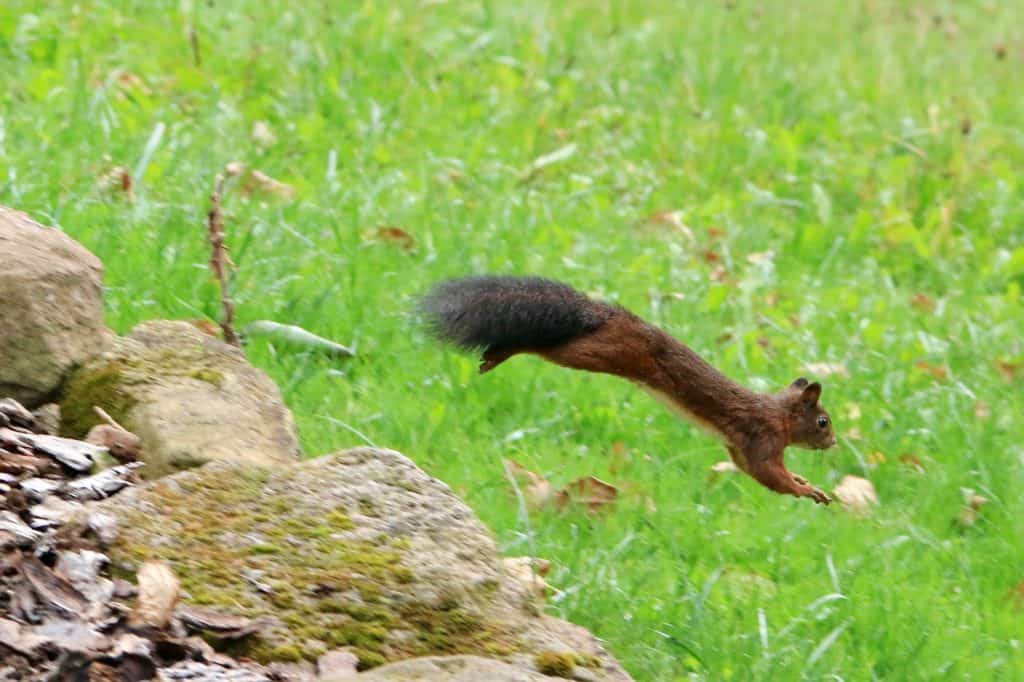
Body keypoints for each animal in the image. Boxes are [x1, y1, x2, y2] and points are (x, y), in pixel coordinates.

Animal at [421, 275, 836, 505]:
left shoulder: (738, 449)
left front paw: (806, 484)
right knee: (543, 345)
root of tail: (609, 314)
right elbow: (769, 475)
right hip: (600, 352)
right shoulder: (762, 438)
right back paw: (502, 352)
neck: (780, 414)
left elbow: (758, 472)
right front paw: (807, 491)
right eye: (823, 421)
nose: (833, 443)